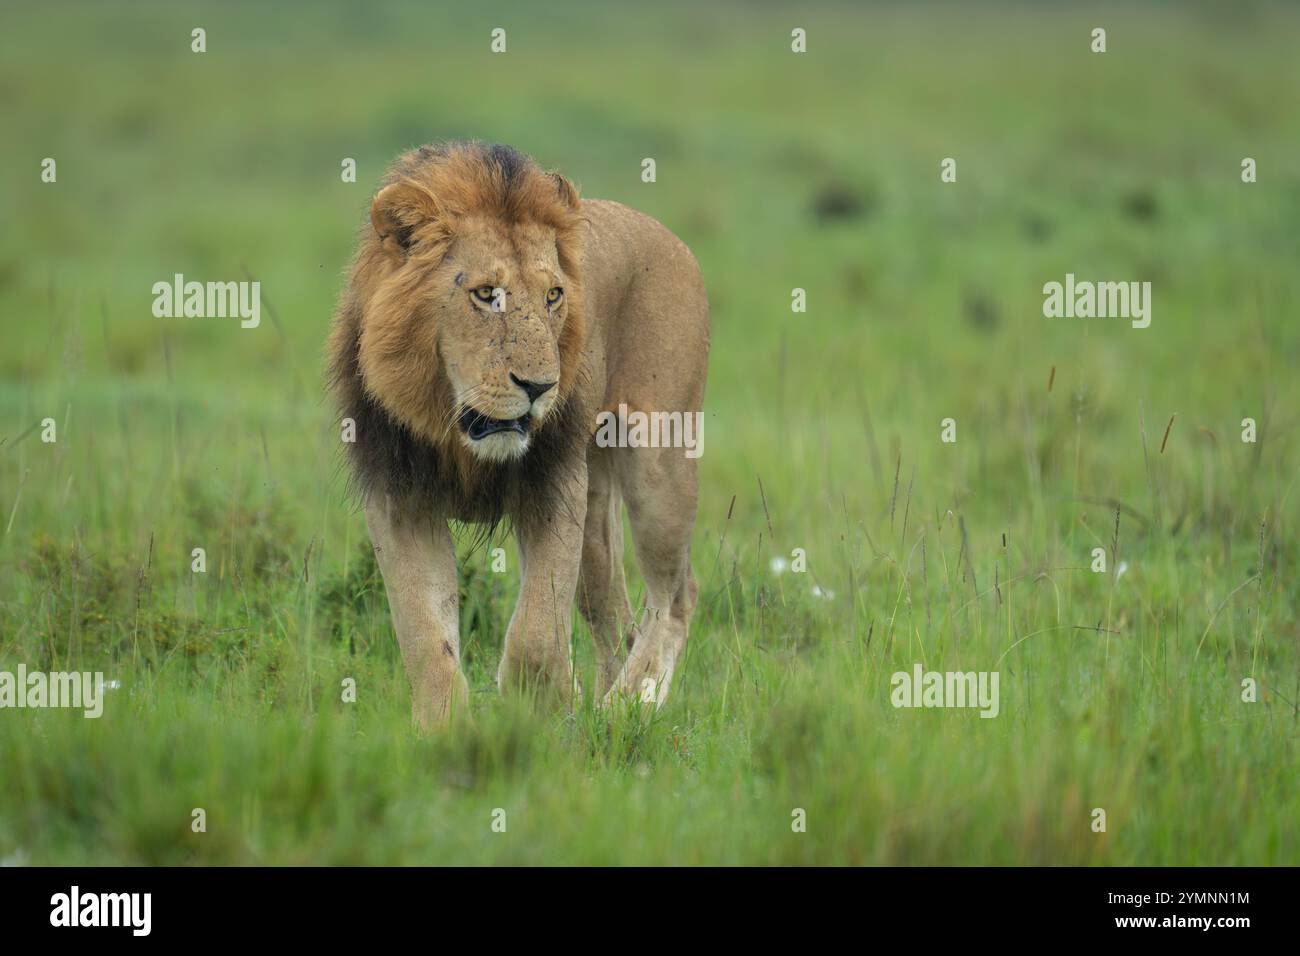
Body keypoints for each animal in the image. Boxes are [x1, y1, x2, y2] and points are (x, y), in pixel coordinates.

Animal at [328, 142, 710, 728]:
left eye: (553, 295)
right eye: (487, 294)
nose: (540, 386)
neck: (456, 434)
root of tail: (666, 233)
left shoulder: (555, 486)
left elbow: (537, 632)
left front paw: (540, 711)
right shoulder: (399, 500)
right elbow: (424, 635)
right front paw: (442, 729)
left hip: (657, 460)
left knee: (676, 595)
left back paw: (627, 705)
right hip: (598, 513)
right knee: (613, 612)